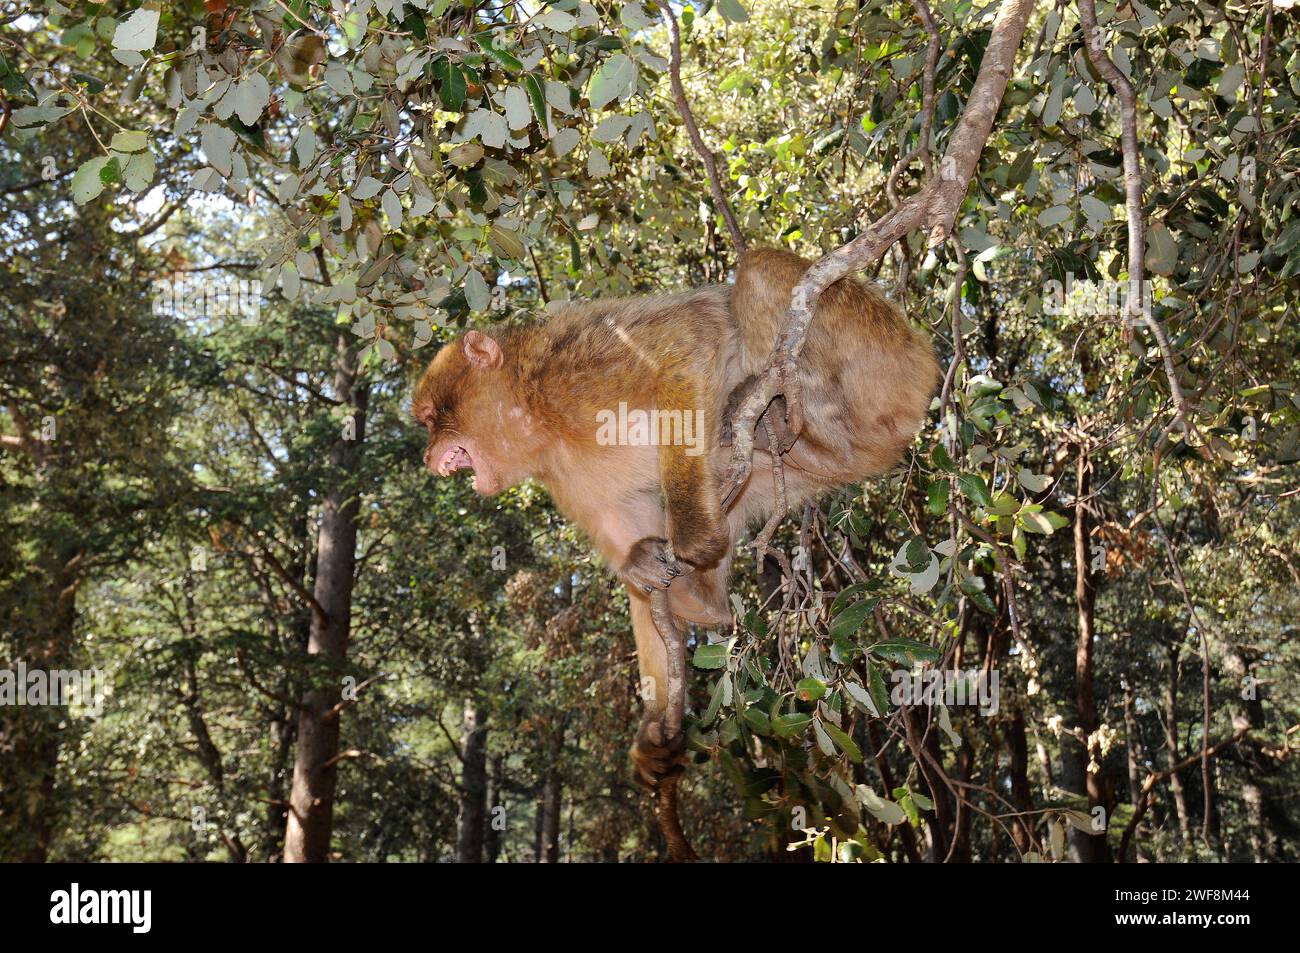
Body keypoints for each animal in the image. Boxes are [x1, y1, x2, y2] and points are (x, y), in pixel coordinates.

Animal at [412, 248, 939, 791]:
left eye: (430, 416)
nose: (428, 457)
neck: (536, 420)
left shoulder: (572, 364)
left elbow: (691, 340)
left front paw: (691, 535)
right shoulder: (568, 481)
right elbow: (636, 564)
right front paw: (653, 727)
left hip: (885, 362)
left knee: (759, 270)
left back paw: (800, 427)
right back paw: (702, 594)